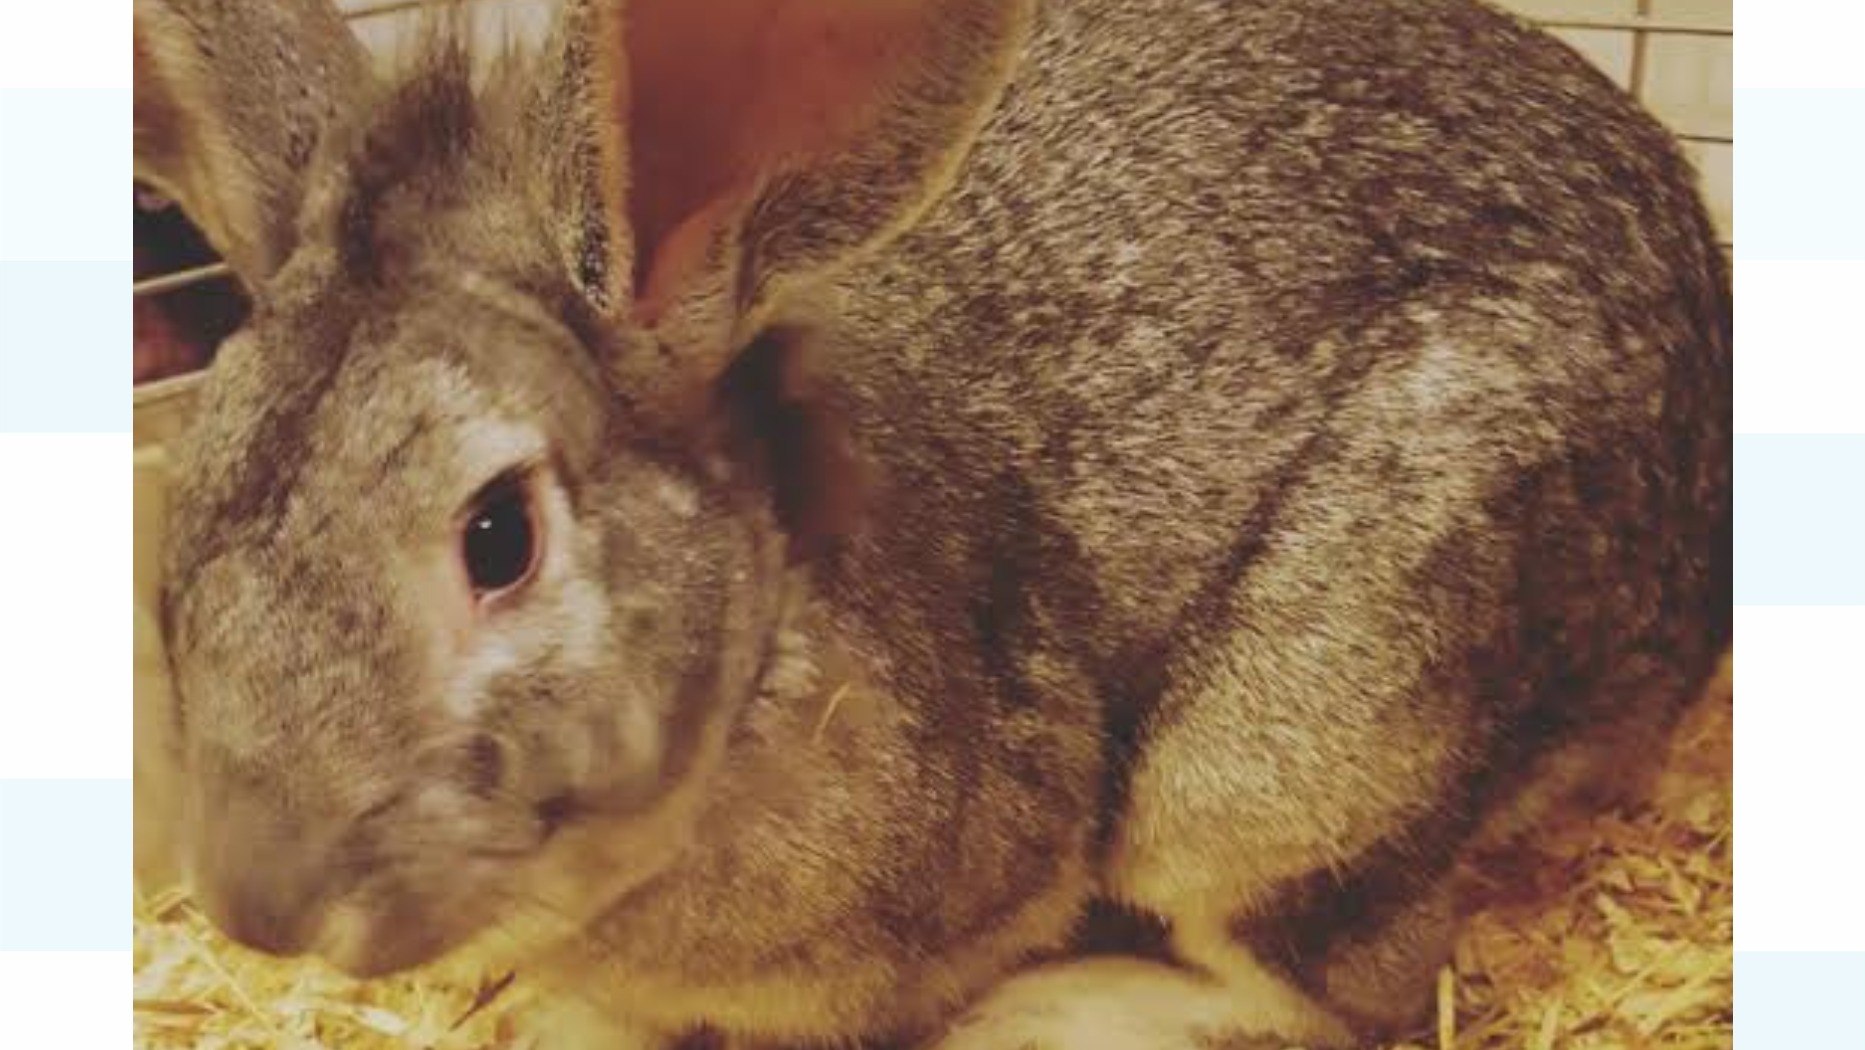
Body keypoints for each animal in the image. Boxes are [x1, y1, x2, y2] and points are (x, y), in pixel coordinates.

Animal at [134, 0, 1732, 1046]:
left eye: (497, 539)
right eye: (189, 515)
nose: (261, 905)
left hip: (1292, 759)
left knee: (1342, 990)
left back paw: (1059, 1009)